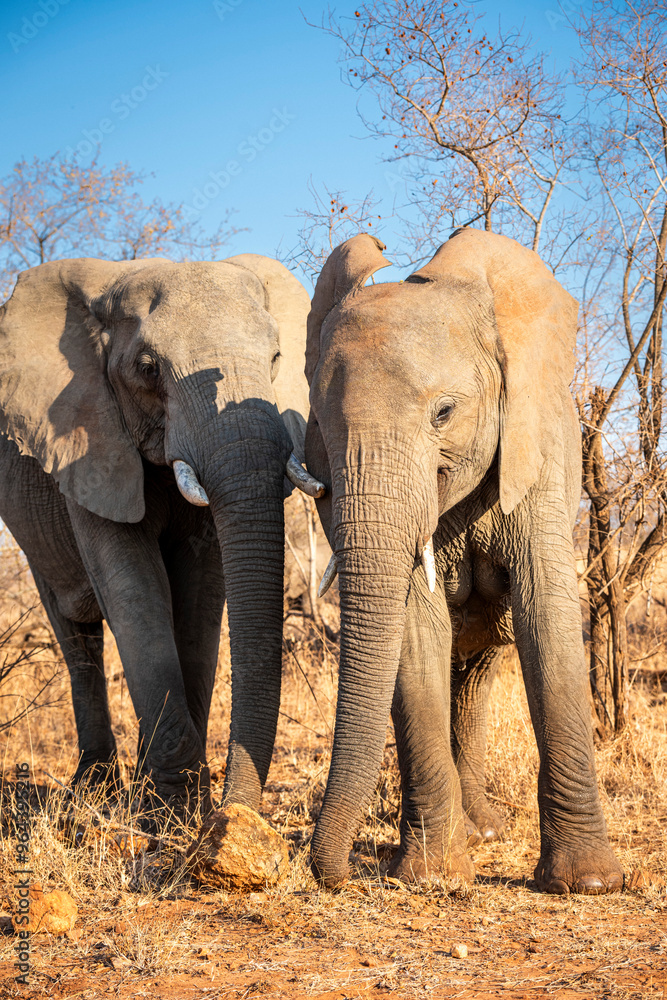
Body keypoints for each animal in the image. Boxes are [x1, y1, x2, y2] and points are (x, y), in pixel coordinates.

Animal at [0, 253, 323, 812]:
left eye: (277, 356)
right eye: (148, 369)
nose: (238, 811)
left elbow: (200, 592)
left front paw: (185, 808)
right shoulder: (89, 441)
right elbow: (134, 590)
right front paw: (174, 812)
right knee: (75, 629)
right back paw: (94, 790)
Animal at [304, 228, 624, 894]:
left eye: (444, 413)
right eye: (319, 423)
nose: (337, 874)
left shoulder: (539, 448)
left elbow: (545, 613)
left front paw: (588, 883)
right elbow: (415, 629)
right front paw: (431, 877)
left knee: (478, 678)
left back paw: (487, 831)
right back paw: (466, 836)